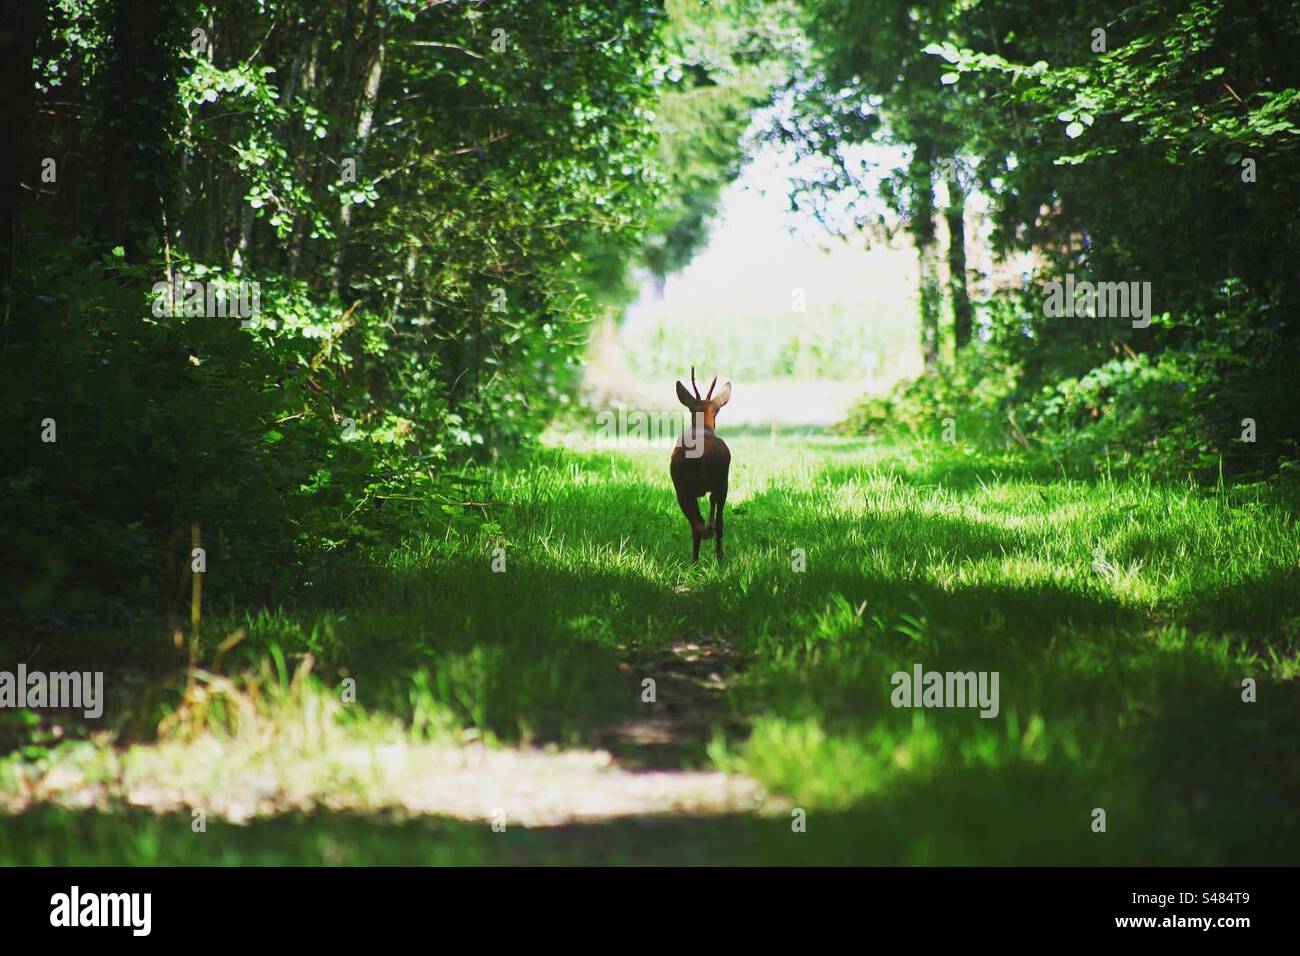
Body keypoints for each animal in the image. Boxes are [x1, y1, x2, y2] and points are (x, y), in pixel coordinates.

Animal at [670, 368, 732, 563]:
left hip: (684, 488)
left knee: (698, 524)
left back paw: (697, 559)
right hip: (715, 482)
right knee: (713, 523)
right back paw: (715, 554)